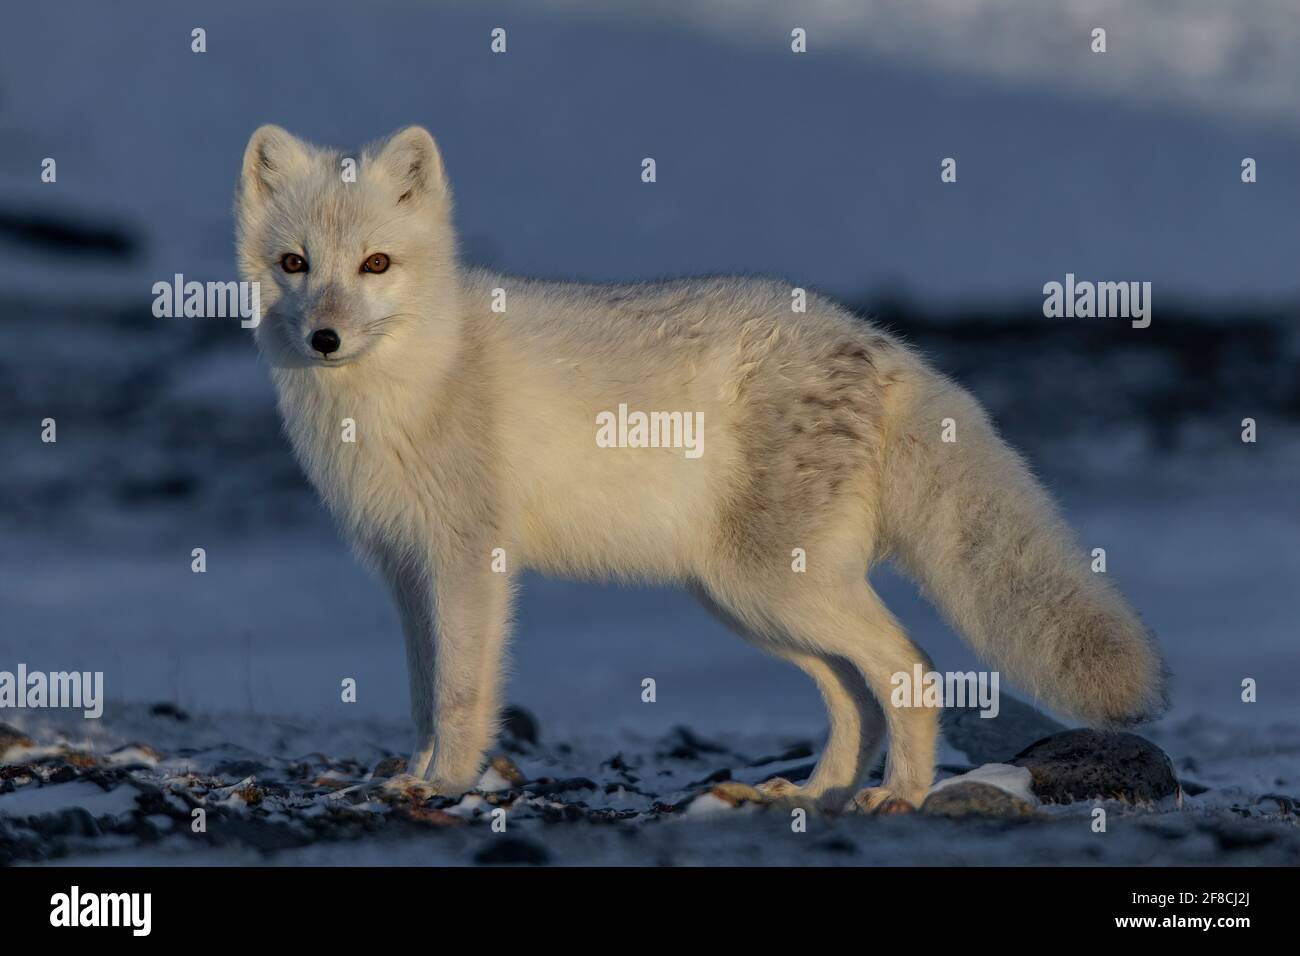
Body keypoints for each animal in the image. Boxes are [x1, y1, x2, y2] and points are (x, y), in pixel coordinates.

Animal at [235, 124, 1167, 812]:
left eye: (376, 264)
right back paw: (816, 793)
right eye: (295, 264)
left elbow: (462, 695)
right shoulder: (405, 571)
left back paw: (897, 795)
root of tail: (883, 346)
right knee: (854, 697)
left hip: (770, 588)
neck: (408, 383)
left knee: (912, 670)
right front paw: (419, 772)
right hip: (748, 601)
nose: (324, 338)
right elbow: (424, 693)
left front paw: (448, 783)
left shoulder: (468, 563)